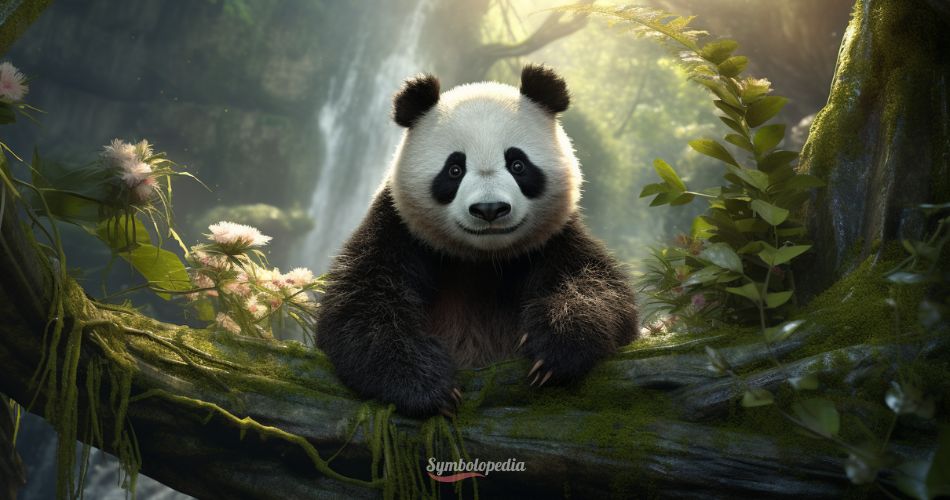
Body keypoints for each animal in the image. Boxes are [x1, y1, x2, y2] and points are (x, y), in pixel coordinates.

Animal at [316, 64, 638, 417]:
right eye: (454, 169)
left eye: (518, 164)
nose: (489, 209)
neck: (483, 259)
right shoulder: (398, 230)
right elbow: (360, 306)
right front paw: (431, 388)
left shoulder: (555, 237)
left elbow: (597, 287)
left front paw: (553, 352)